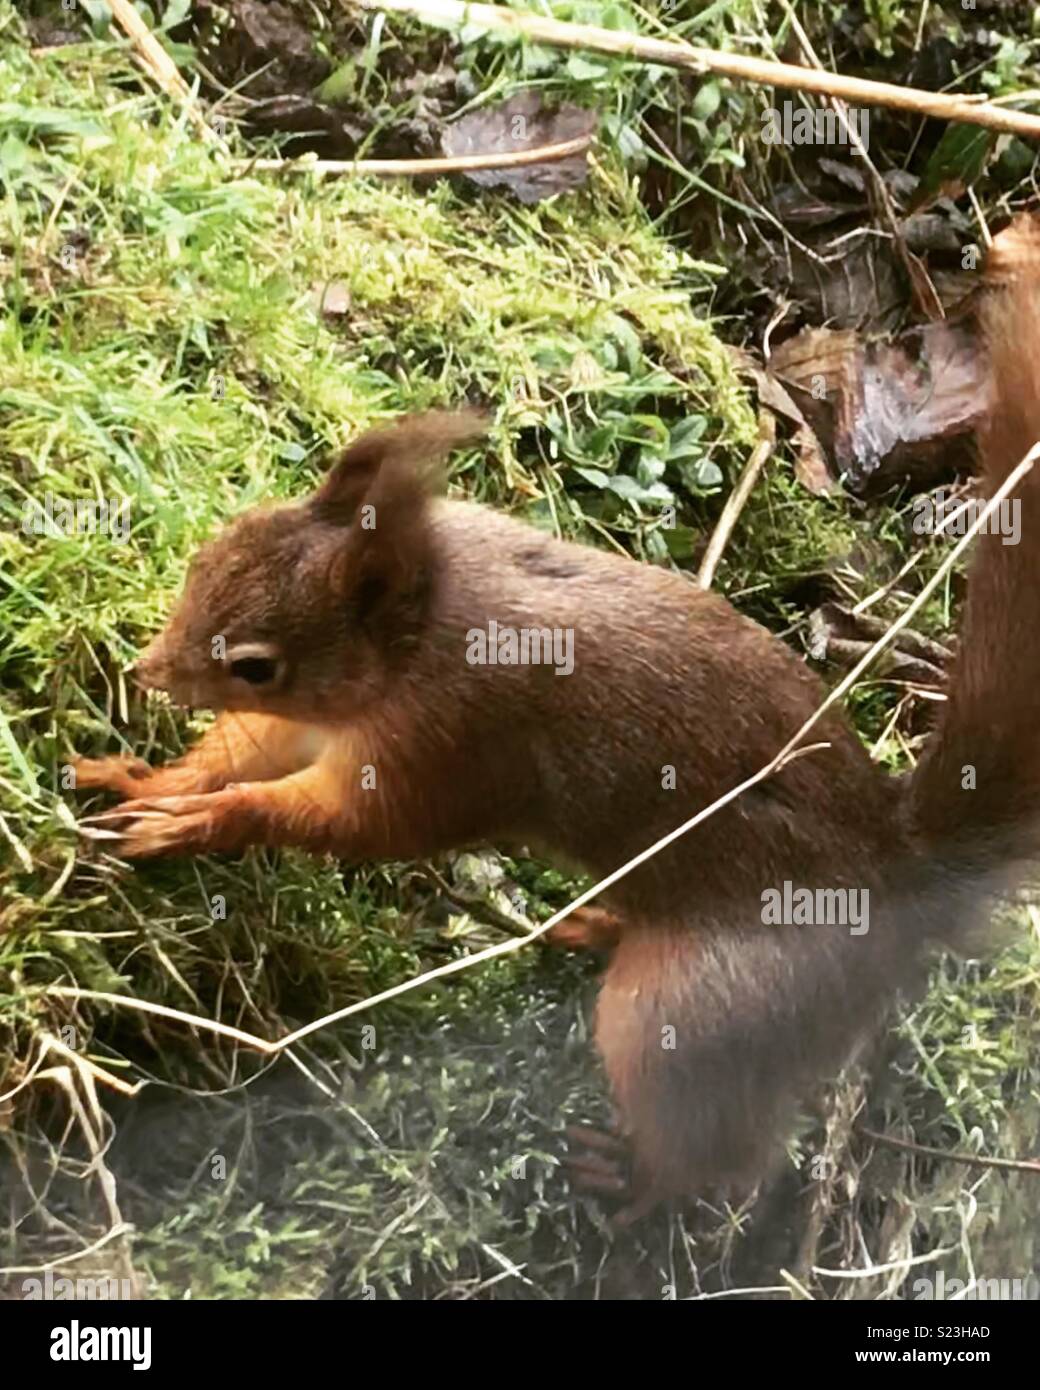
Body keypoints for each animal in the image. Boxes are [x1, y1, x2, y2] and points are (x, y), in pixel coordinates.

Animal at [73, 216, 1040, 1221]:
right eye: (210, 553)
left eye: (257, 664)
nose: (146, 670)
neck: (421, 628)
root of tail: (895, 873)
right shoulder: (328, 723)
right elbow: (243, 749)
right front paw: (144, 778)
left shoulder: (451, 743)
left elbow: (354, 823)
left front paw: (199, 821)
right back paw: (596, 925)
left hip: (695, 1007)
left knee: (724, 1151)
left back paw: (635, 1181)